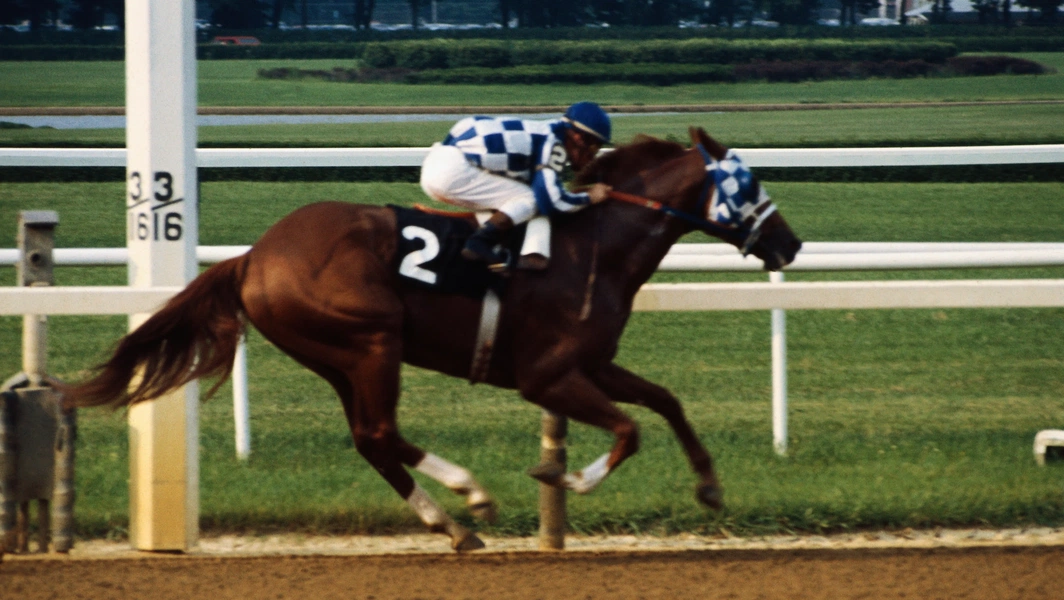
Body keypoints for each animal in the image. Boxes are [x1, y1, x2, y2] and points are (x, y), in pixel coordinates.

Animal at [60, 127, 802, 551]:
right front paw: (560, 474)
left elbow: (666, 402)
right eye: (751, 182)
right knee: (381, 433)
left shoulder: (591, 363)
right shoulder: (546, 375)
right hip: (371, 340)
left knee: (371, 440)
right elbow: (629, 430)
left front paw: (710, 488)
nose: (790, 245)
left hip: (337, 357)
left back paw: (454, 524)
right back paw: (469, 498)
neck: (594, 244)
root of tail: (253, 256)